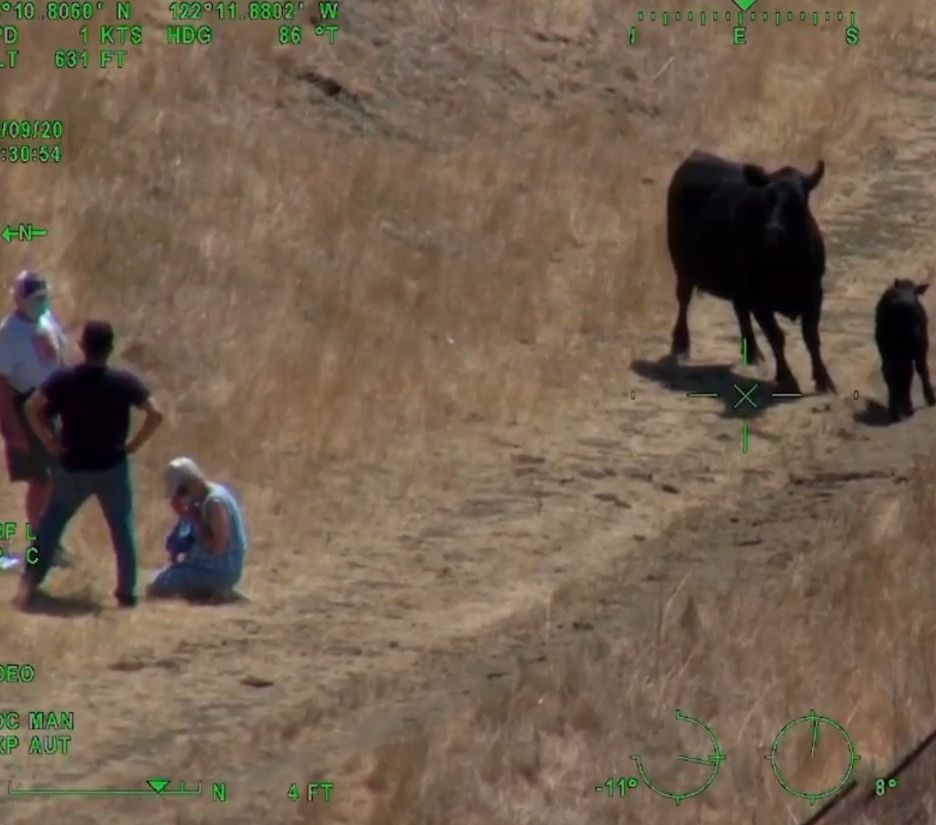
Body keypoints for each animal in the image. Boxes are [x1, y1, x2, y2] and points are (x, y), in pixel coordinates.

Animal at [666, 150, 835, 395]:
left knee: (740, 311)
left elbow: (811, 338)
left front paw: (824, 380)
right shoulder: (760, 300)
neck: (786, 264)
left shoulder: (814, 293)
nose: (772, 231)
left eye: (798, 202)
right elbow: (776, 336)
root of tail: (697, 156)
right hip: (683, 267)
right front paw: (787, 378)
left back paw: (753, 352)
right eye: (767, 198)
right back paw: (680, 343)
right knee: (683, 301)